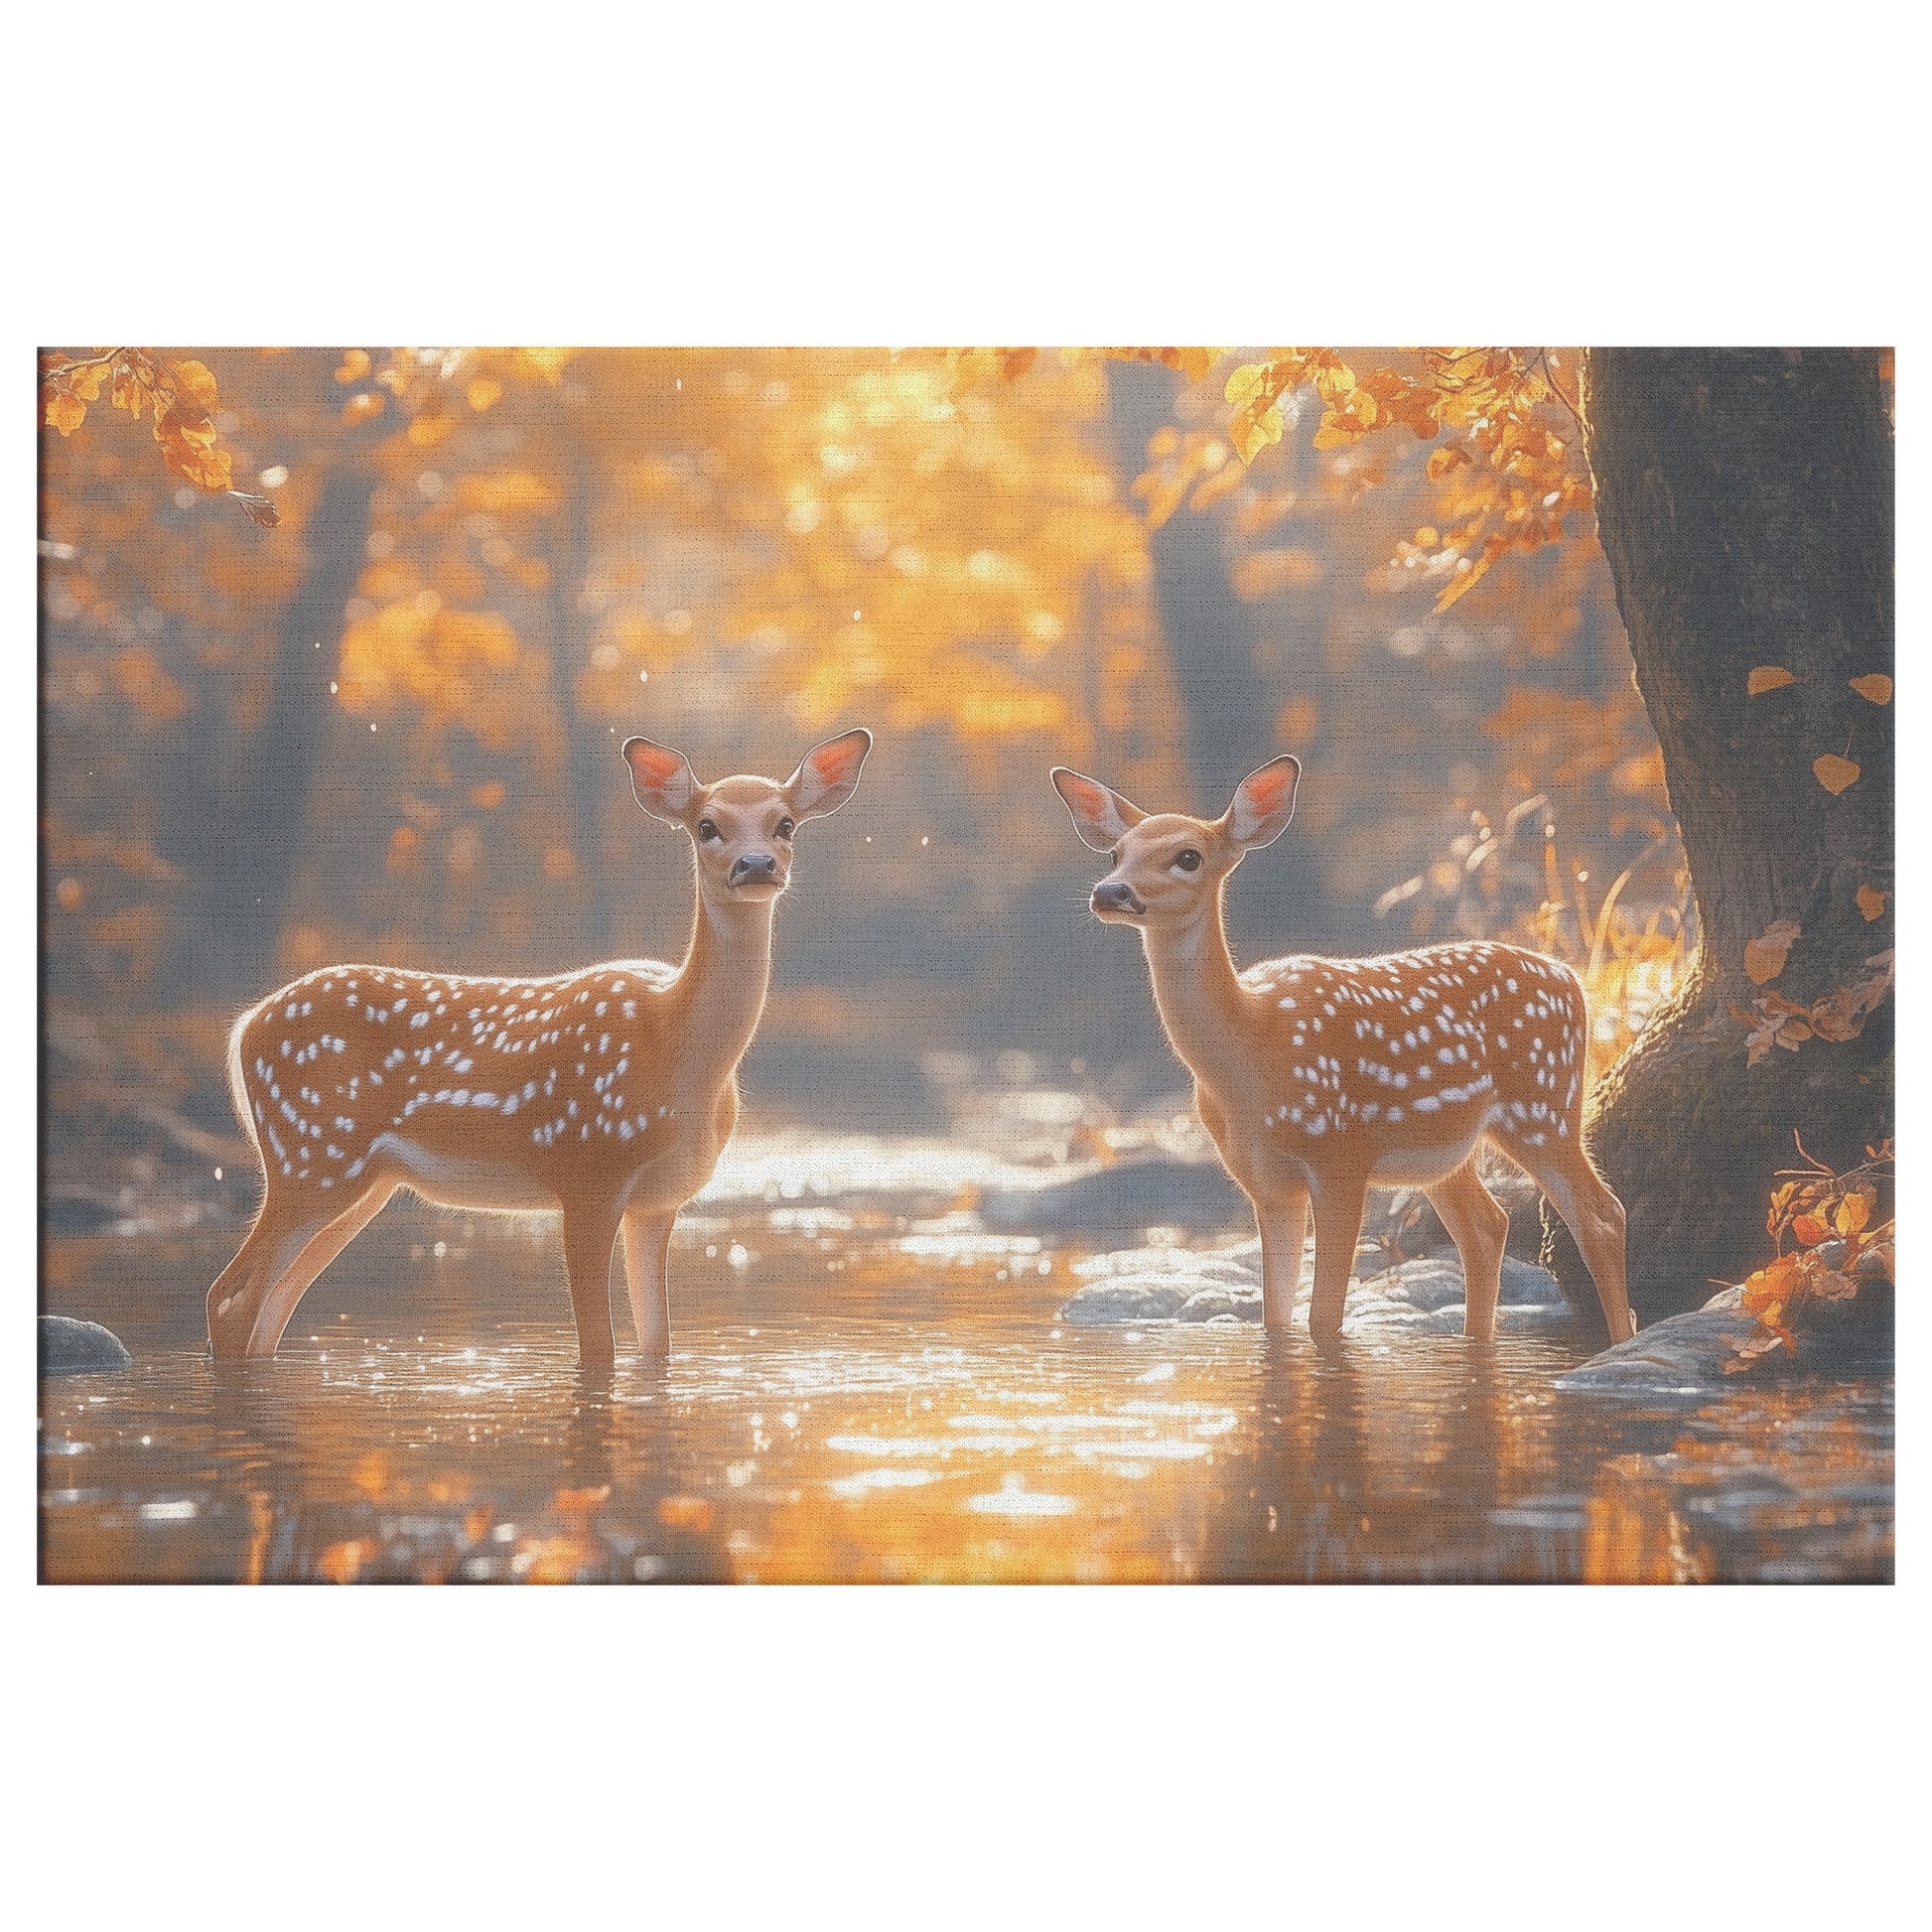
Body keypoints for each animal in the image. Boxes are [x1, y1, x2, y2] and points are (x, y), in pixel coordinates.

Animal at [206, 728, 873, 1365]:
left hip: (362, 1179)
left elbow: (656, 1346)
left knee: (270, 1309)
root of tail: (243, 1027)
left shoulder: (660, 1200)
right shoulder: (587, 1171)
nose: (756, 864)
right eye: (706, 825)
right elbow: (598, 1348)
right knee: (231, 1296)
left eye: (785, 823)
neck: (679, 1052)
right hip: (310, 1153)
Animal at [1051, 755, 1636, 1348]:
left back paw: (1619, 1342)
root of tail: (1572, 980)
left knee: (1601, 1215)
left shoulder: (1341, 1156)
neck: (1250, 1049)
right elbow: (1275, 1319)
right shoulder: (1263, 1180)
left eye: (1188, 856)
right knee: (1486, 1227)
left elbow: (1323, 1318)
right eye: (1116, 853)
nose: (1110, 891)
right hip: (1446, 1146)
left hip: (1543, 1105)